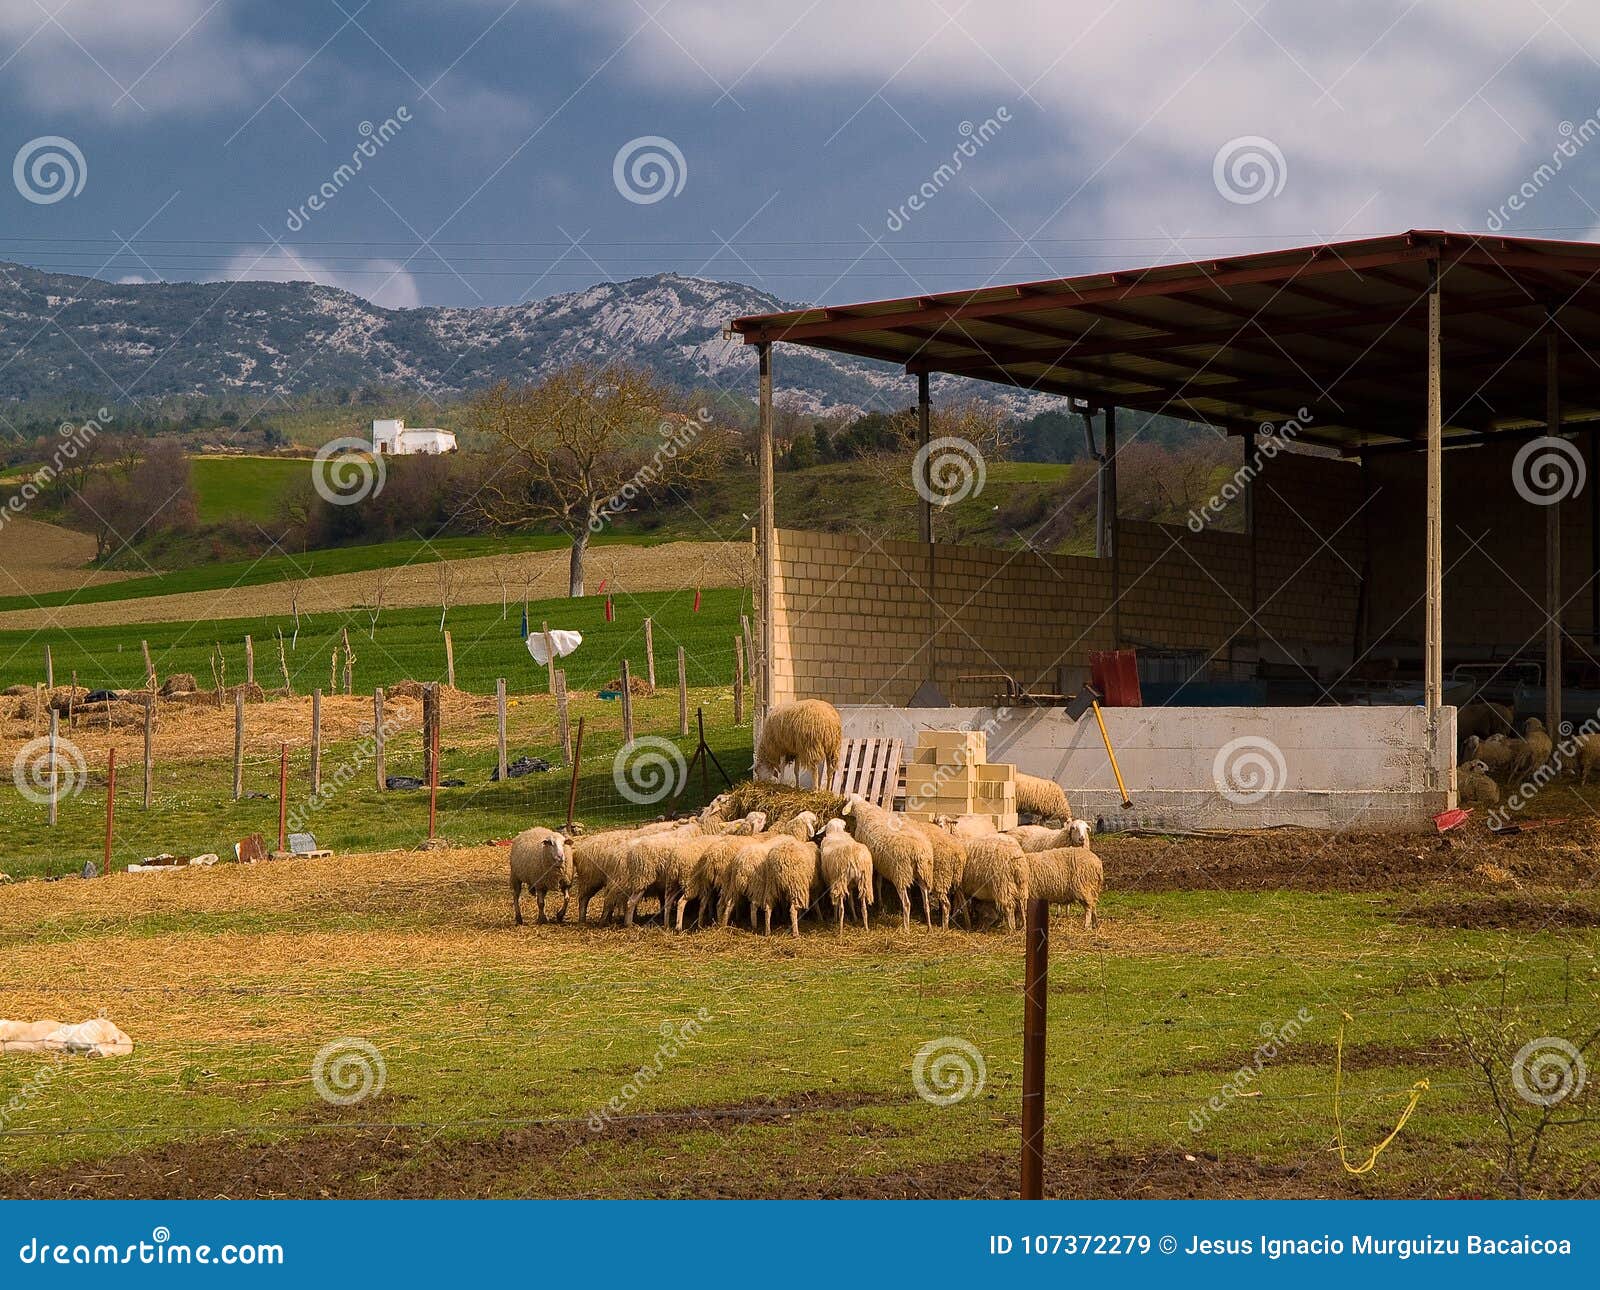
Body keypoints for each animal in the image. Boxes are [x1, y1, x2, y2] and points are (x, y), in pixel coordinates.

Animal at [841, 797, 933, 931]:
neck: (864, 810)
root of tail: (918, 852)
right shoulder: (881, 863)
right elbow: (879, 883)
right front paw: (881, 904)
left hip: (900, 874)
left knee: (906, 903)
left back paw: (906, 928)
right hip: (923, 874)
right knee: (926, 902)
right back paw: (929, 926)